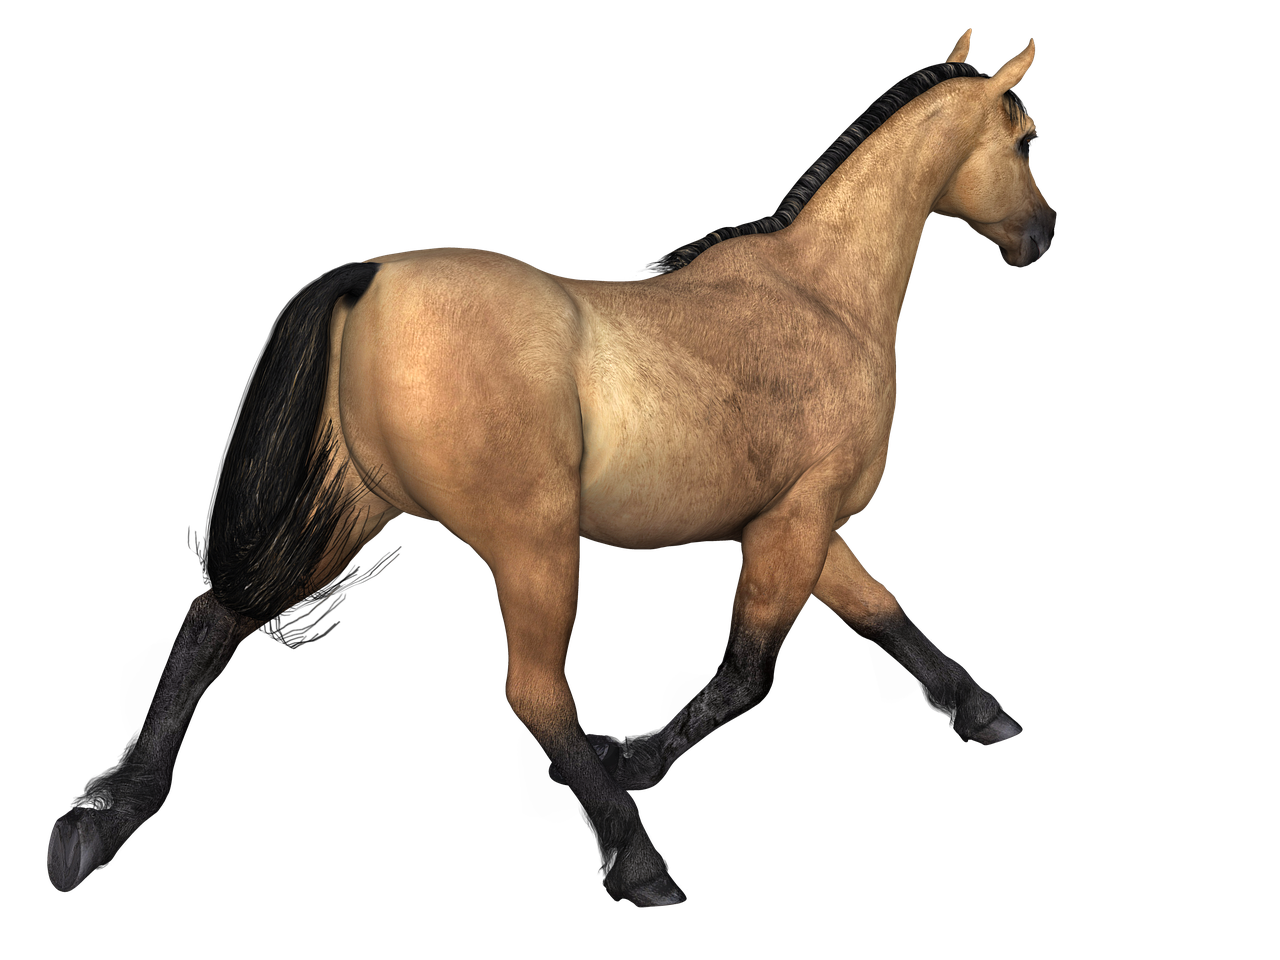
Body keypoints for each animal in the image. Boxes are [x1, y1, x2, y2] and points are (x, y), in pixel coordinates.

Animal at [46, 27, 1053, 905]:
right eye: (1027, 141)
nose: (1043, 240)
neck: (821, 296)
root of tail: (370, 277)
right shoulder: (795, 522)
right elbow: (748, 673)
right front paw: (632, 762)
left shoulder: (798, 522)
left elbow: (889, 619)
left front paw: (984, 716)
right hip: (531, 541)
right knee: (532, 696)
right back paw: (636, 862)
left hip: (347, 506)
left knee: (214, 621)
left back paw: (95, 824)